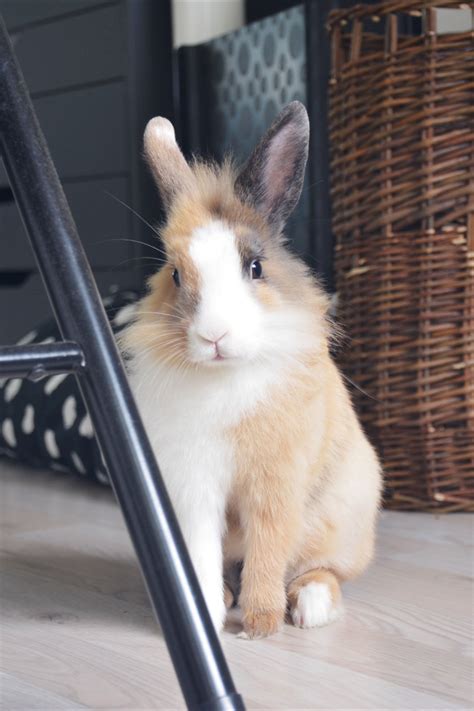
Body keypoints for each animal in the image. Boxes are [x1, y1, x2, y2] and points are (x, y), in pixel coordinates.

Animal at [121, 101, 382, 639]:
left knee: (320, 570)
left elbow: (268, 552)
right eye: (175, 275)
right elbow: (202, 551)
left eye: (256, 267)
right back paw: (224, 596)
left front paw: (260, 625)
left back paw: (309, 608)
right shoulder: (195, 490)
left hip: (342, 521)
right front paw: (208, 613)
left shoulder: (275, 487)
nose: (214, 336)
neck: (225, 376)